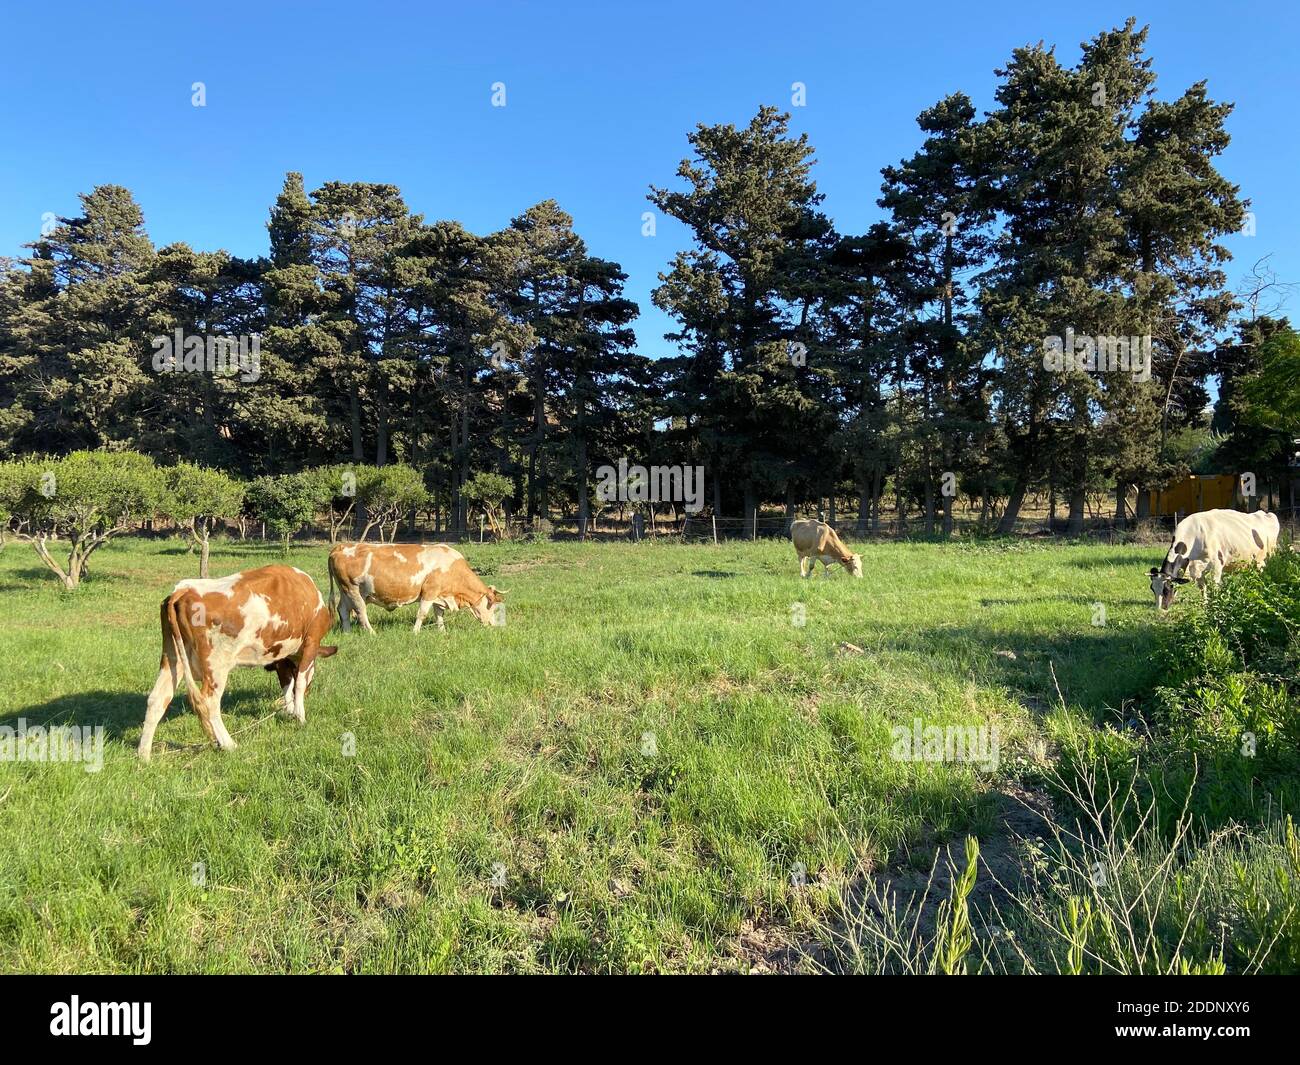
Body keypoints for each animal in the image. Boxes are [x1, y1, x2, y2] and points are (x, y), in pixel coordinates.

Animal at [138, 565, 337, 760]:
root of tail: (183, 590)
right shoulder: (312, 640)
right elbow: (300, 682)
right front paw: (300, 717)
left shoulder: (281, 656)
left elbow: (287, 684)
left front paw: (290, 711)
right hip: (216, 664)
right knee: (209, 701)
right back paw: (229, 744)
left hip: (173, 658)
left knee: (157, 699)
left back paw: (144, 755)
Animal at [327, 542, 506, 633]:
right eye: (492, 606)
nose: (493, 625)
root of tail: (340, 547)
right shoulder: (429, 592)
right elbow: (422, 613)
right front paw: (415, 632)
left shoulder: (438, 594)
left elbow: (438, 614)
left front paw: (442, 632)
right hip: (353, 589)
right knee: (361, 612)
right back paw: (372, 633)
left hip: (345, 591)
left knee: (343, 610)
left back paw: (347, 632)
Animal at [1149, 508, 1280, 610]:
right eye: (1152, 589)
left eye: (1167, 589)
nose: (1160, 609)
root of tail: (1266, 513)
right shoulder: (1196, 568)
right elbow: (1203, 588)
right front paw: (1205, 604)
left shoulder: (1216, 566)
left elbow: (1215, 587)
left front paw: (1217, 605)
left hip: (1266, 558)